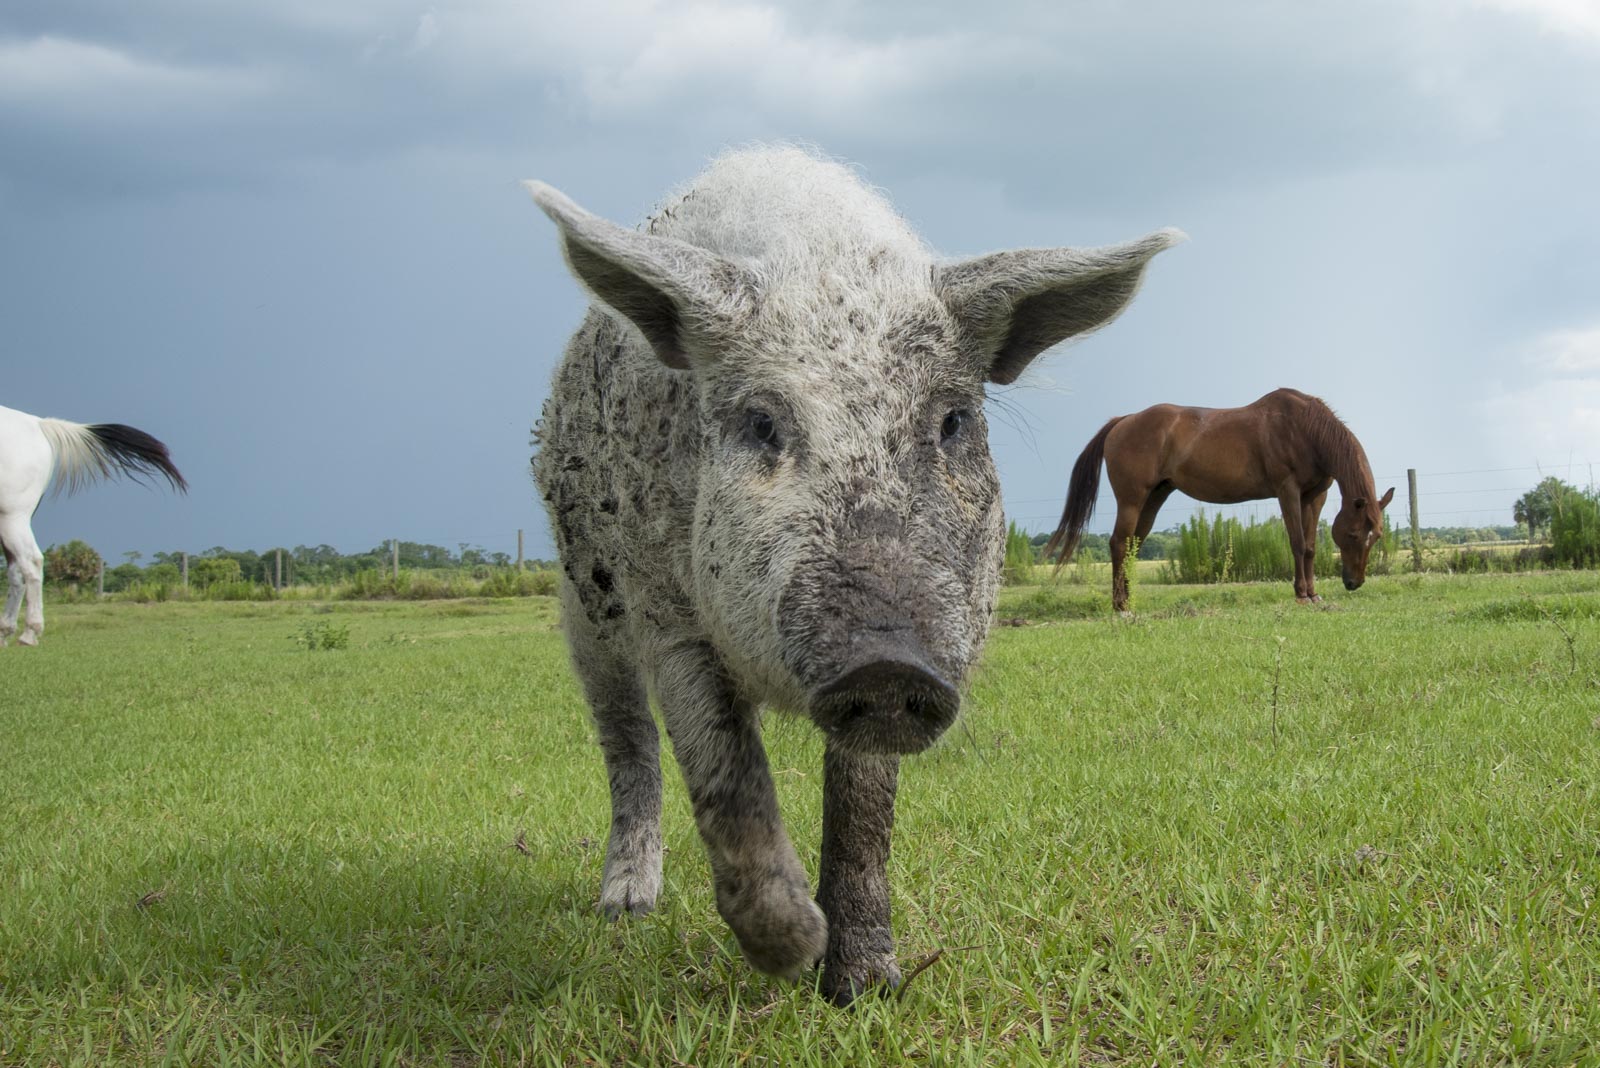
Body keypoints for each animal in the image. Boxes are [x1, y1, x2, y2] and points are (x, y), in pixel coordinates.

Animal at [526, 146, 1179, 1004]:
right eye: (762, 423)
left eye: (953, 422)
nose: (885, 657)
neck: (818, 256)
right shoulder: (667, 611)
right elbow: (724, 773)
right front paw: (795, 949)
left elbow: (865, 809)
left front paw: (865, 984)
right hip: (584, 608)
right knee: (626, 738)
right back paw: (627, 906)